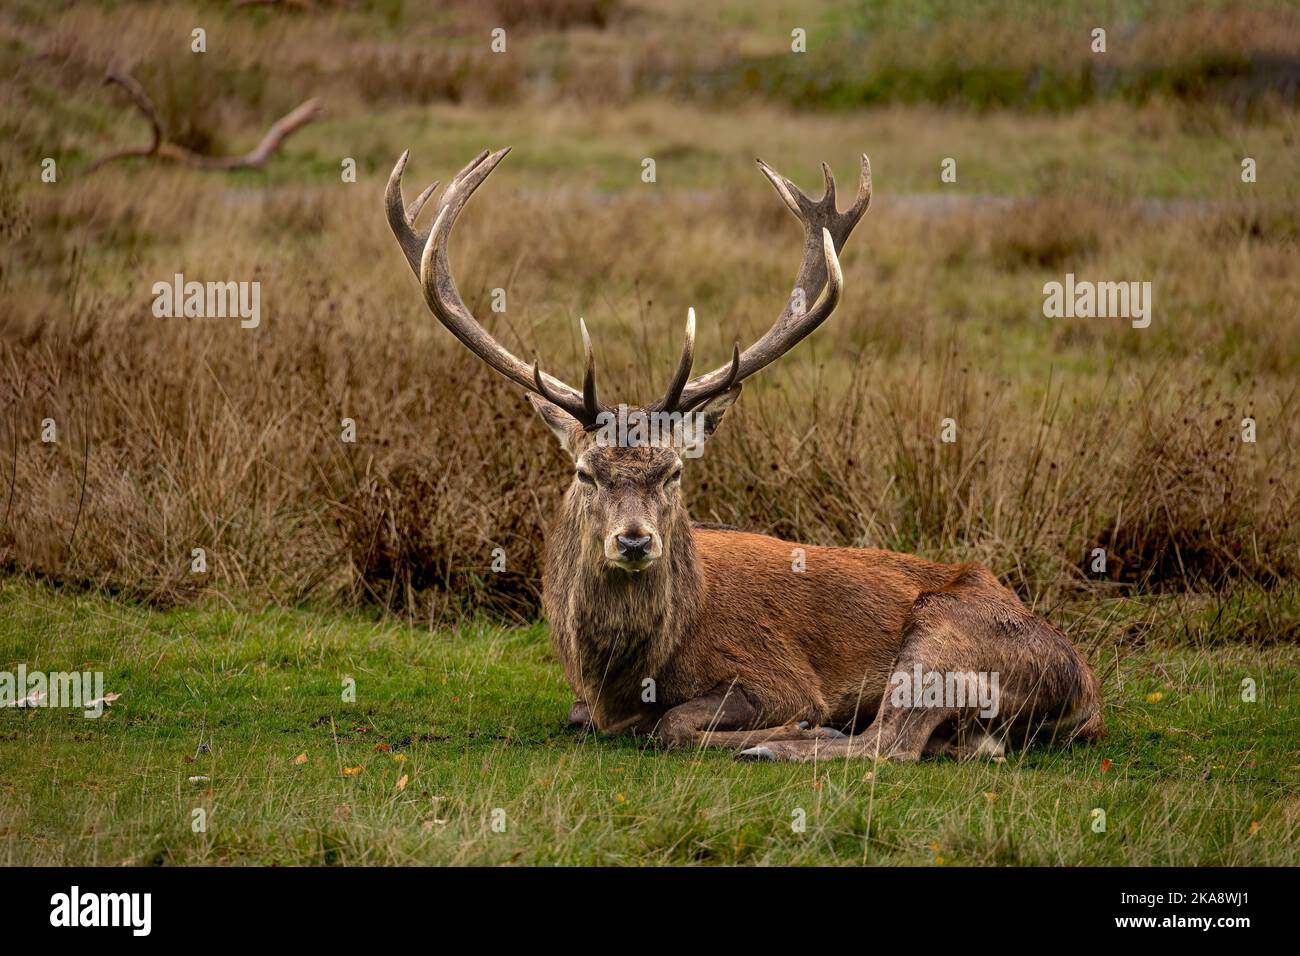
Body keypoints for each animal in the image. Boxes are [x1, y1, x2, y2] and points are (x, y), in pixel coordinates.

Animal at [384, 146, 1104, 762]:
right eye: (585, 472)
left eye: (674, 471)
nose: (635, 541)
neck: (626, 677)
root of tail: (1088, 691)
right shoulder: (589, 702)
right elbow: (578, 713)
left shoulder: (776, 673)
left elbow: (675, 724)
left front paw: (788, 726)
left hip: (946, 638)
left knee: (890, 742)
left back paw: (780, 744)